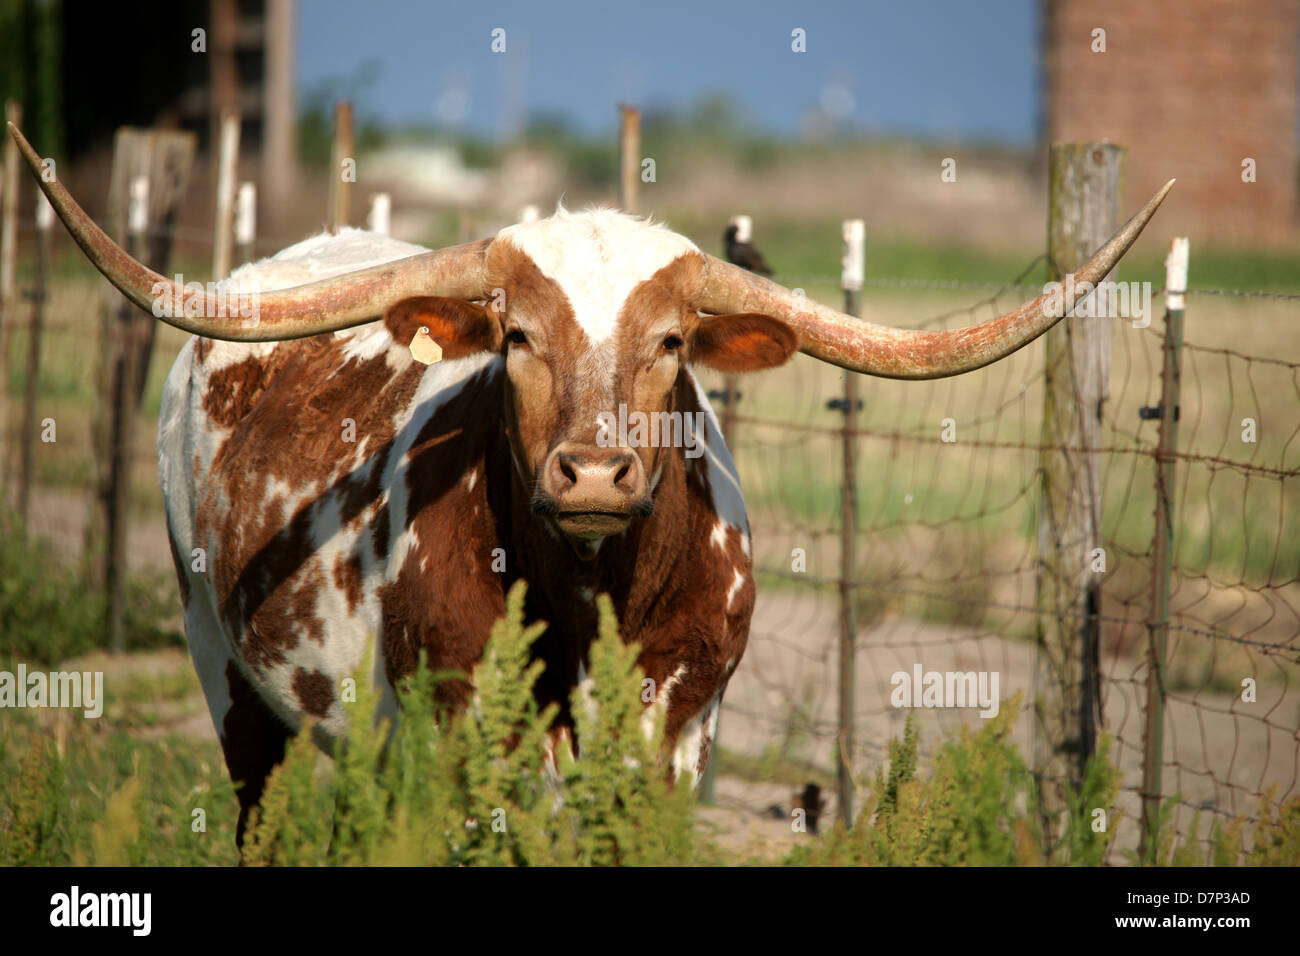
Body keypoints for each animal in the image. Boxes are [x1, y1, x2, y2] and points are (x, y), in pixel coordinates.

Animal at [7, 123, 1172, 845]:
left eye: (671, 340)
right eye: (519, 335)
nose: (598, 470)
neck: (590, 595)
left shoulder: (682, 736)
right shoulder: (465, 740)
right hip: (220, 660)